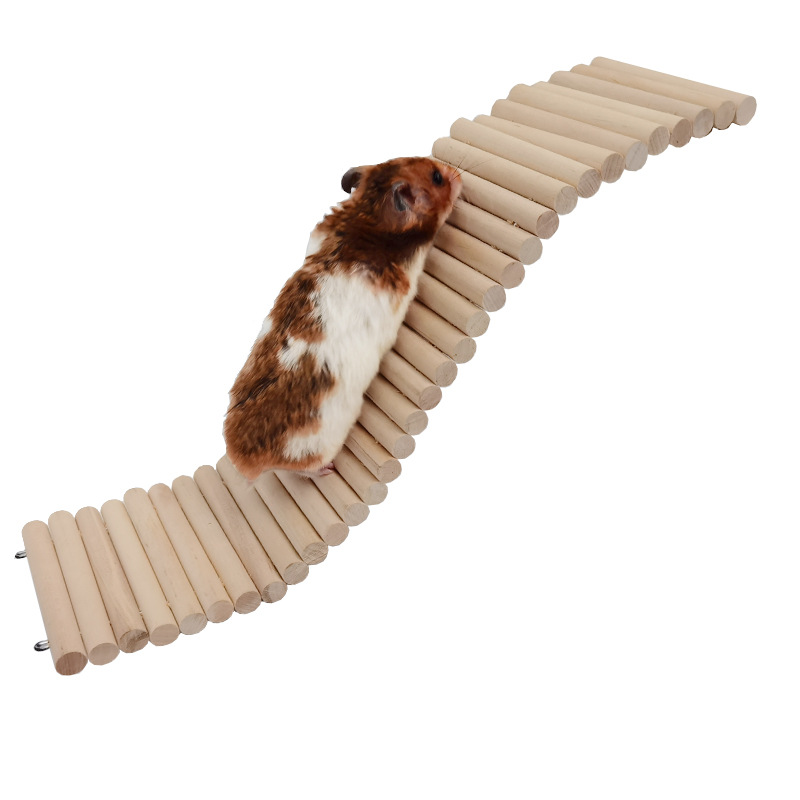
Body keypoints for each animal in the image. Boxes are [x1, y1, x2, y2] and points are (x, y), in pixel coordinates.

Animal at [224, 156, 462, 480]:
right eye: (437, 177)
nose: (457, 174)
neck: (368, 218)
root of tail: (241, 459)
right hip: (316, 448)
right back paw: (326, 470)